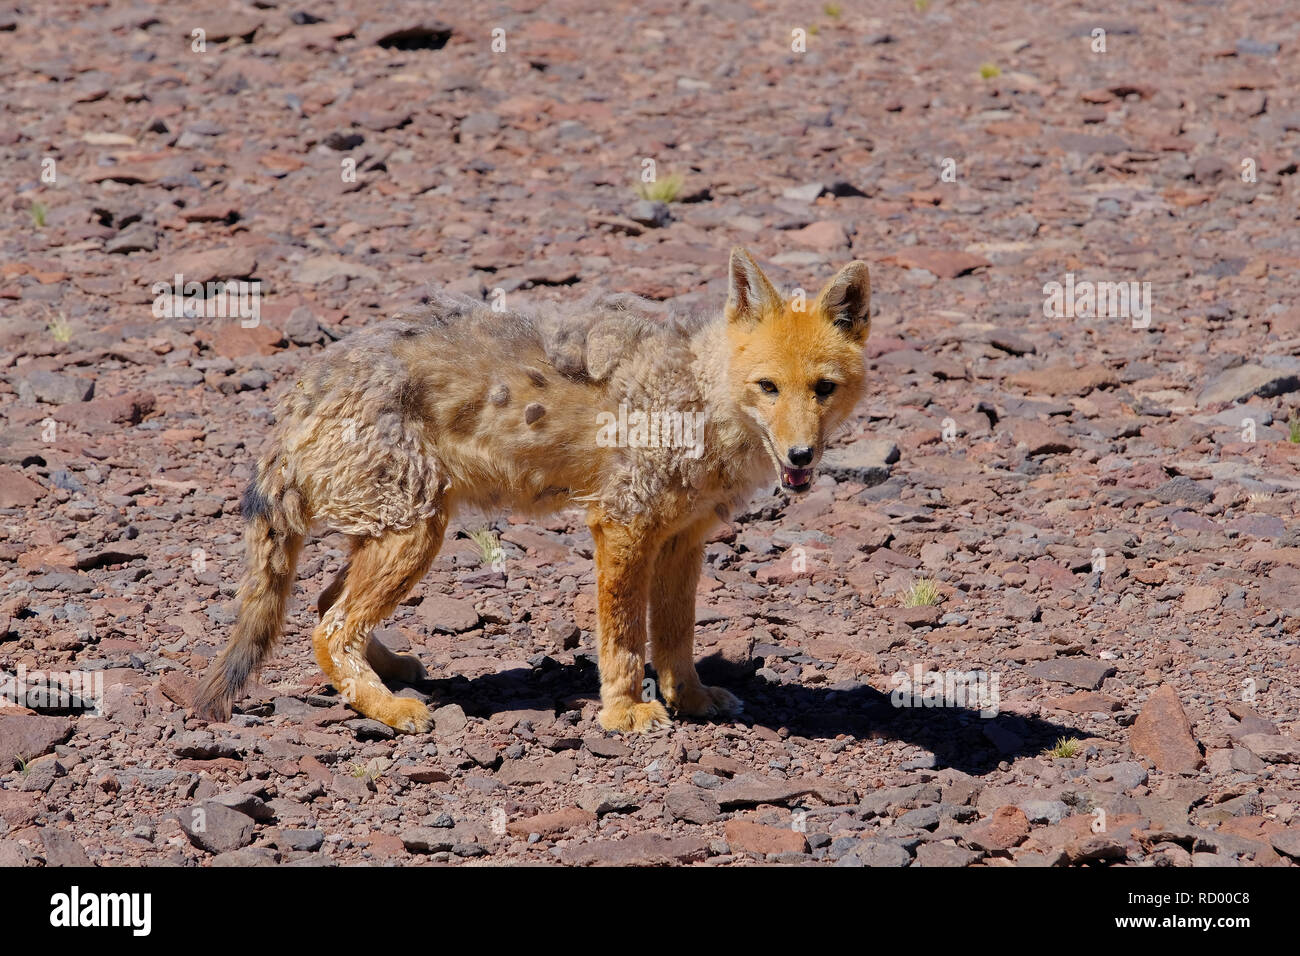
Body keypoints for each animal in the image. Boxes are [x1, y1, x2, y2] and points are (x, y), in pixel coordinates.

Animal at [193, 247, 871, 734]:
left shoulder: (683, 537)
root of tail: (305, 387)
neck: (700, 396)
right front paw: (624, 712)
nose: (801, 456)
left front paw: (692, 698)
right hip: (417, 534)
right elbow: (624, 635)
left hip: (394, 532)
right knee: (328, 628)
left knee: (325, 604)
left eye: (823, 389)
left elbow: (677, 634)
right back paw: (391, 709)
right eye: (767, 387)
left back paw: (392, 675)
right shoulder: (623, 524)